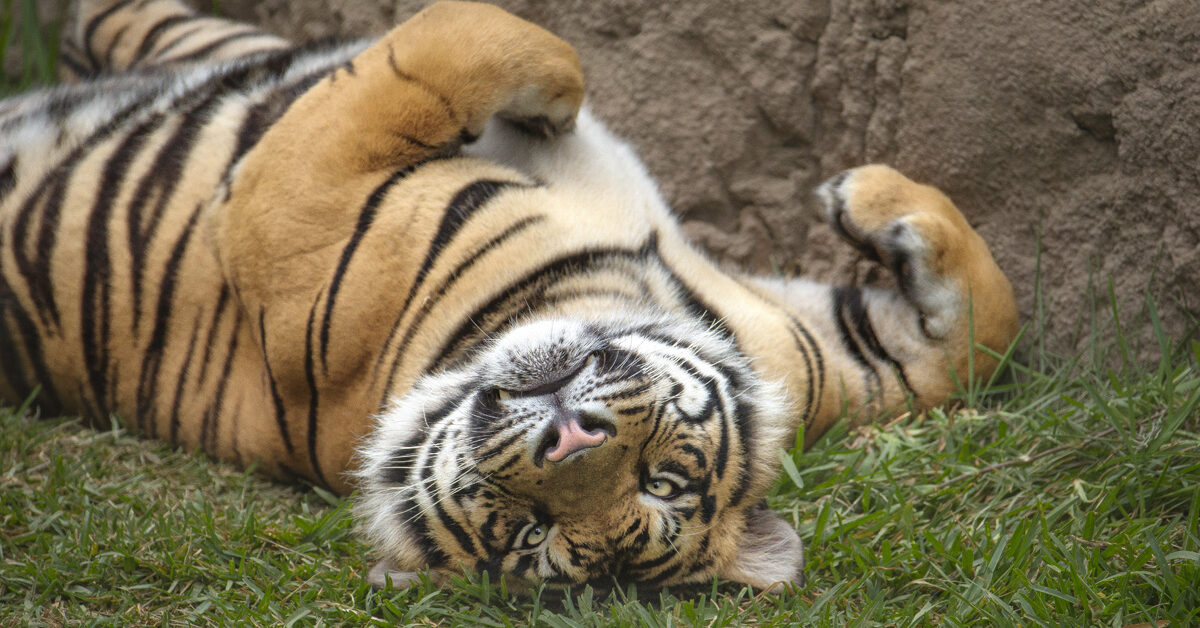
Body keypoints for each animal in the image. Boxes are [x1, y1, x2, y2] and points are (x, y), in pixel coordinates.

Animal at [0, 0, 1018, 591]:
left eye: (533, 535)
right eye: (665, 479)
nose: (568, 438)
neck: (639, 285)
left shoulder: (295, 186)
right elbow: (501, 39)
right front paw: (865, 198)